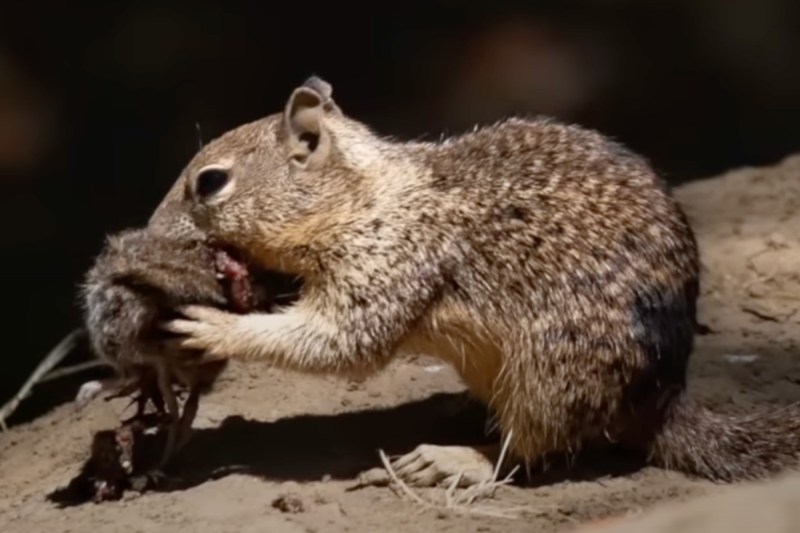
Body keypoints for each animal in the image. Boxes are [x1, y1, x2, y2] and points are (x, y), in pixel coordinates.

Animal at [155, 76, 800, 487]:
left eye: (210, 182)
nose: (152, 230)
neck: (361, 198)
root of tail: (661, 399)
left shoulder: (388, 261)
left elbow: (340, 340)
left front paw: (213, 327)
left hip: (551, 372)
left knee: (535, 451)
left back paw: (456, 459)